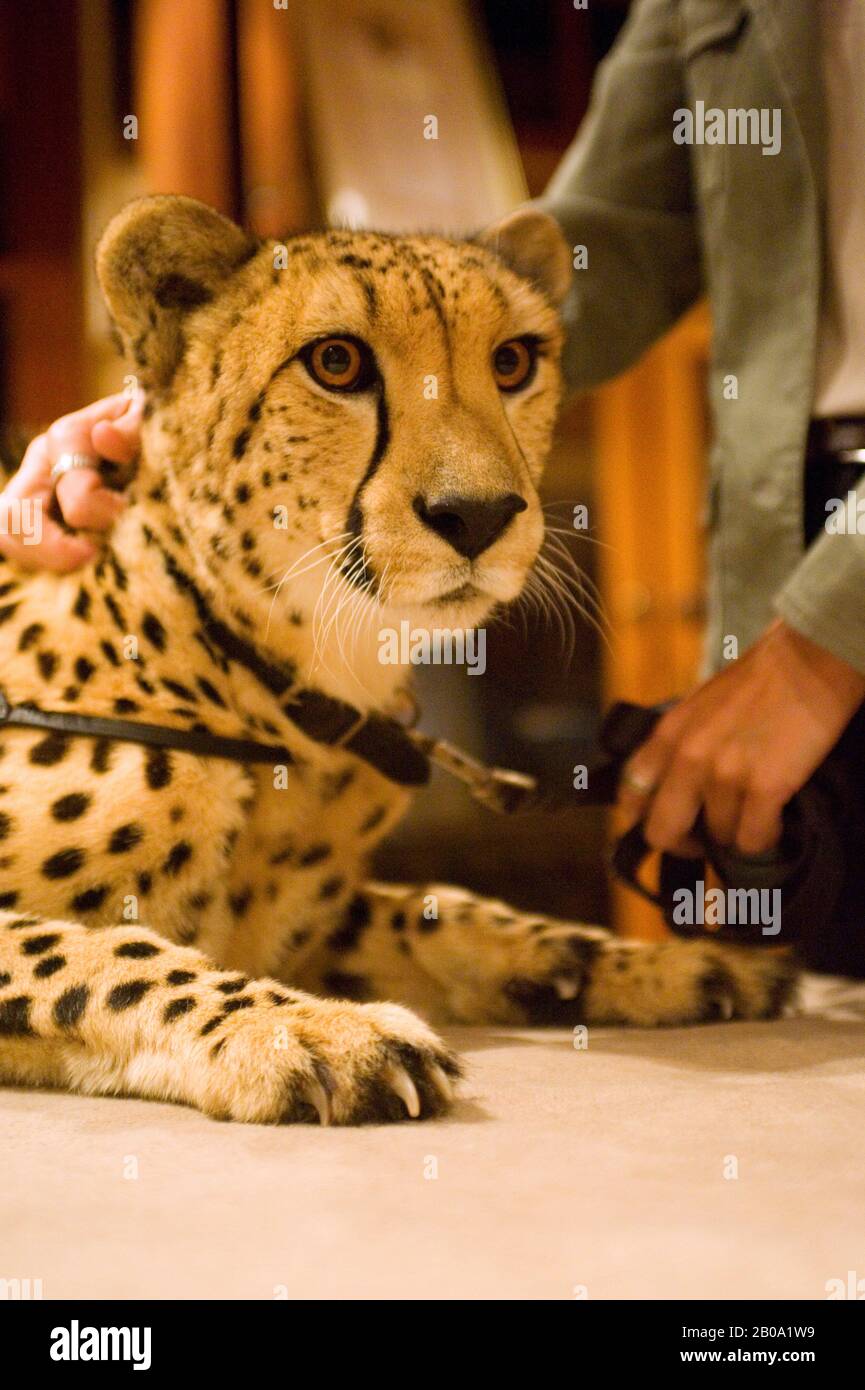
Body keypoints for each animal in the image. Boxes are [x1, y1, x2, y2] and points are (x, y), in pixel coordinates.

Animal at [0, 195, 794, 1125]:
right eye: (336, 362)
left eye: (513, 361)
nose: (476, 514)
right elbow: (105, 954)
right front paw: (307, 1030)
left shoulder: (308, 917)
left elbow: (440, 908)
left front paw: (653, 961)